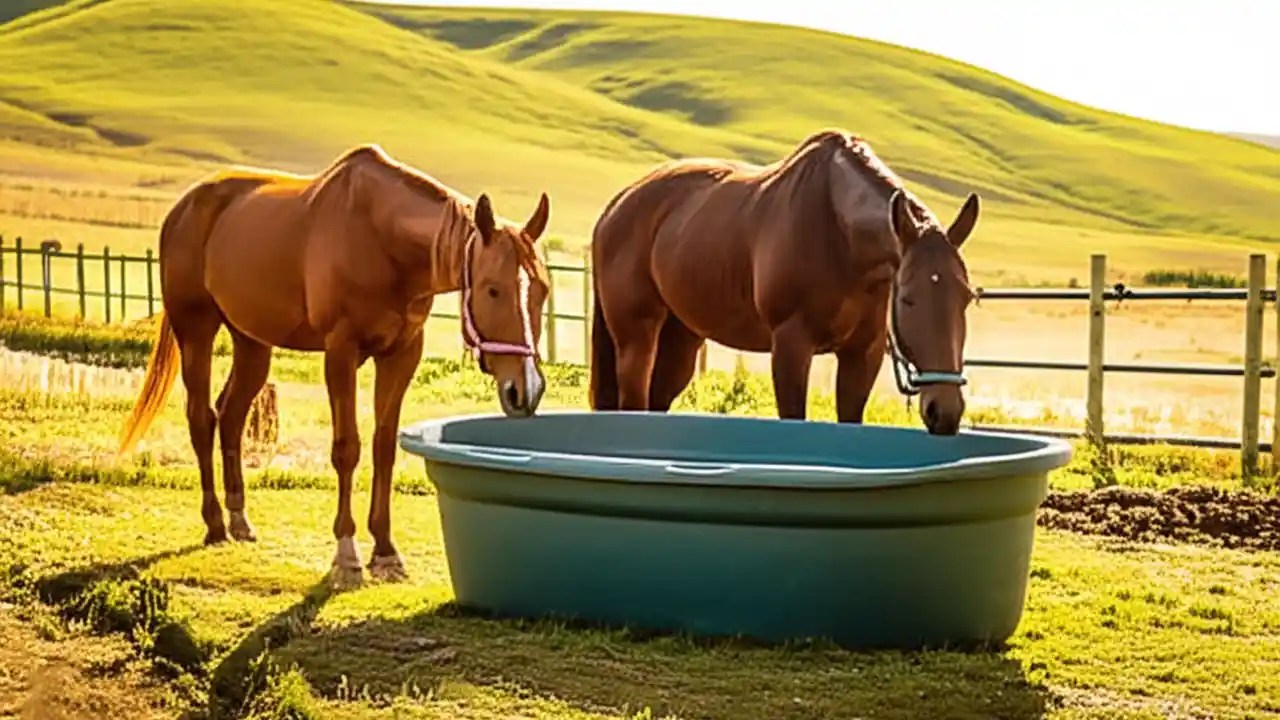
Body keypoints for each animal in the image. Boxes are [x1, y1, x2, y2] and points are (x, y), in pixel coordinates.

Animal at [115, 143, 553, 584]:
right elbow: (347, 449)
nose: (526, 390)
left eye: (543, 290)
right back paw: (215, 523)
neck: (383, 241)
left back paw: (239, 520)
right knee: (202, 418)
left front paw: (386, 552)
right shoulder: (341, 353)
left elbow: (383, 448)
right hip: (197, 331)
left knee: (232, 416)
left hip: (252, 343)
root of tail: (183, 209)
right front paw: (347, 554)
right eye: (492, 289)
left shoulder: (401, 354)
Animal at [588, 128, 979, 435]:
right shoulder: (791, 346)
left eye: (966, 298)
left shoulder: (861, 356)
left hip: (681, 339)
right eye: (908, 298)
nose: (945, 411)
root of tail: (617, 206)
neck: (838, 232)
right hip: (637, 338)